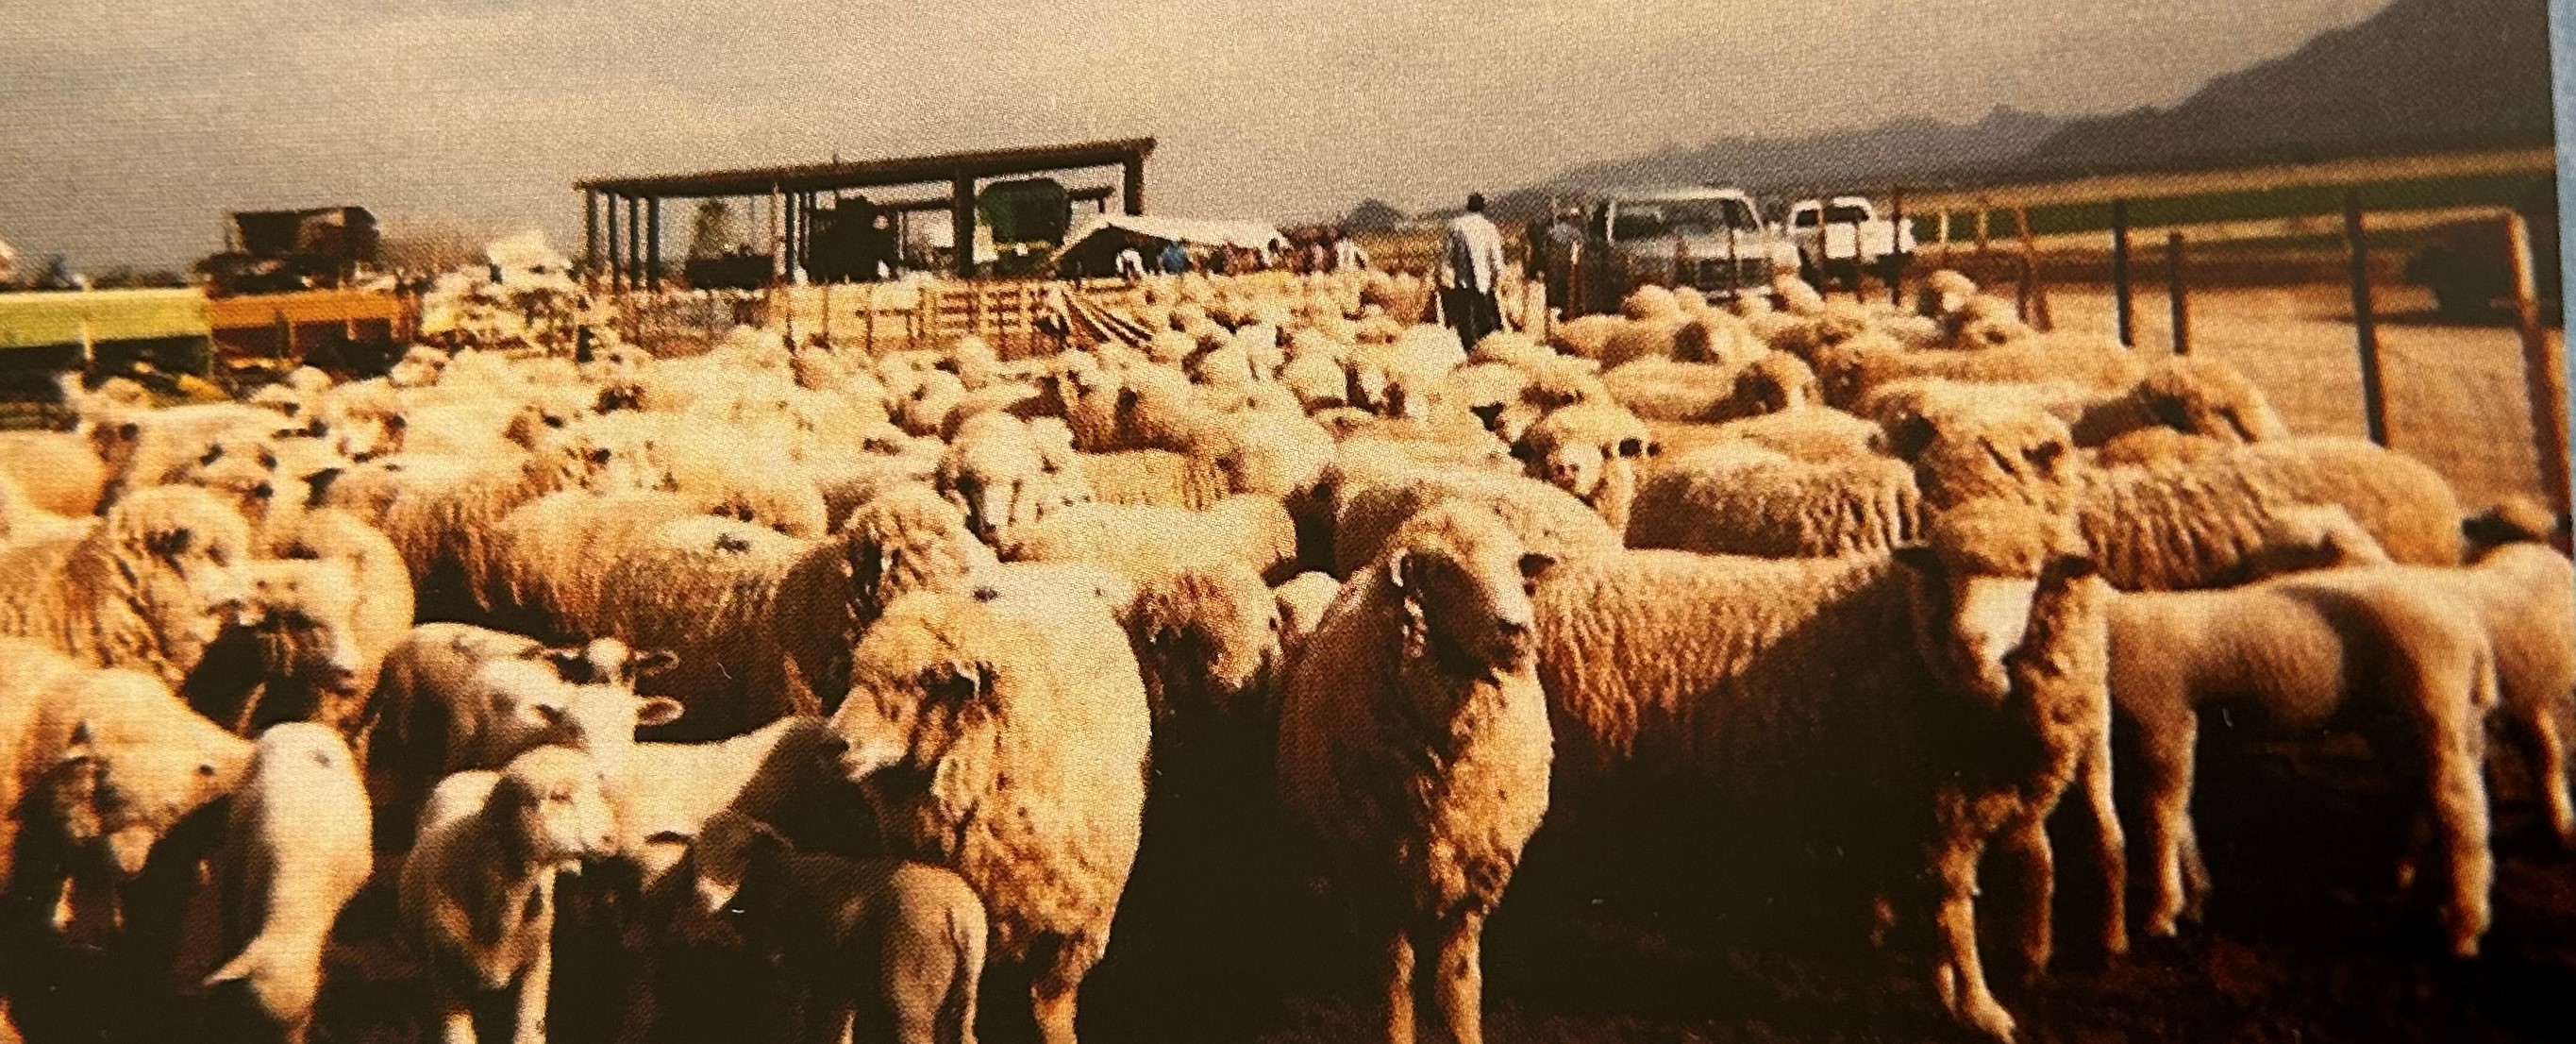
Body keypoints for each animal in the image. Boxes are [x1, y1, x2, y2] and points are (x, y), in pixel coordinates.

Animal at [398, 746, 621, 1044]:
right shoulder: (446, 978)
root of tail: (475, 771)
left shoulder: (537, 967)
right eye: (559, 796)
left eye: (598, 791)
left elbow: (528, 1029)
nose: (612, 838)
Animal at [662, 810, 986, 1044]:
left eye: (742, 852)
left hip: (911, 980)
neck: (770, 878)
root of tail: (959, 913)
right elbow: (836, 1030)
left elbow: (793, 1027)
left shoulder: (790, 971)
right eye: (696, 852)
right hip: (965, 984)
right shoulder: (835, 979)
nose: (704, 896)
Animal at [1275, 504, 1557, 1044]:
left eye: (1517, 566)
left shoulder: (1475, 874)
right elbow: (1395, 980)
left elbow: (1459, 982)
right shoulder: (1379, 871)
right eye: (1444, 571)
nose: (1517, 629)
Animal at [1532, 499, 2122, 1044]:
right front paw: (1979, 1010)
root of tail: (1546, 585)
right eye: (1942, 570)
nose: (1966, 647)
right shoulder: (1937, 806)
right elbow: (1953, 915)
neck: (1902, 627)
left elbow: (1937, 909)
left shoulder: (1921, 804)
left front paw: (1941, 985)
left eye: (2029, 574)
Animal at [2107, 564, 2499, 957]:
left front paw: (2161, 912)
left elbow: (2161, 815)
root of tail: (2472, 629)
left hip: (2435, 695)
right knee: (2433, 790)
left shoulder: (2163, 716)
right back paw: (2420, 883)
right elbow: (2179, 812)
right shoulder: (2172, 724)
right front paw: (2194, 897)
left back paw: (2464, 927)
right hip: (2412, 721)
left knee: (2460, 804)